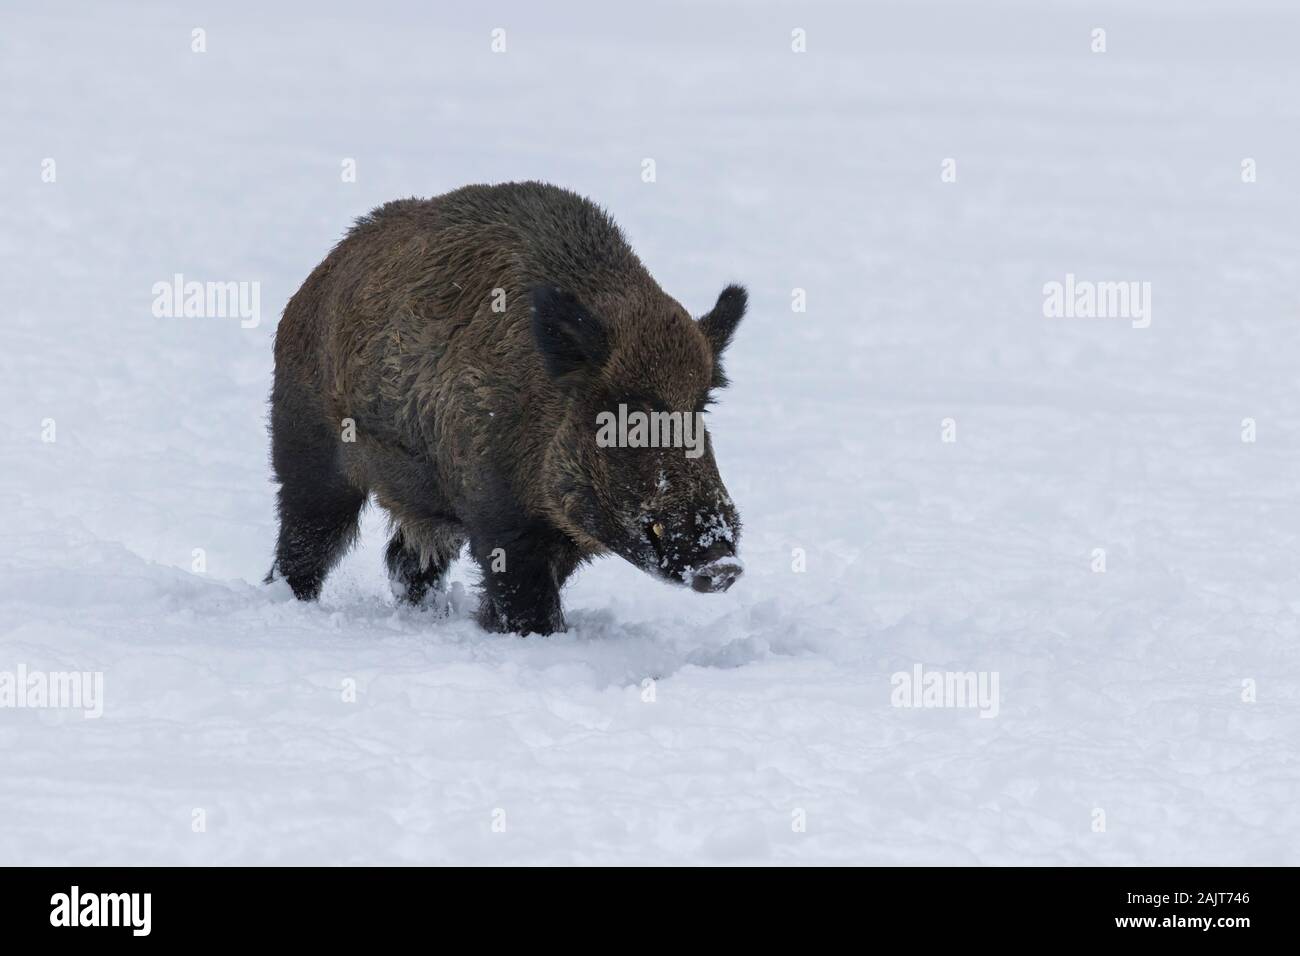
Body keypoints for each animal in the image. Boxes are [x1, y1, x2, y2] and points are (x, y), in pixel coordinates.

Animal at [266, 181, 746, 635]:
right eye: (627, 411)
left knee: (406, 557)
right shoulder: (501, 520)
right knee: (306, 538)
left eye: (700, 406)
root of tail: (317, 279)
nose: (724, 564)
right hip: (307, 446)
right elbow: (526, 603)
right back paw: (291, 601)